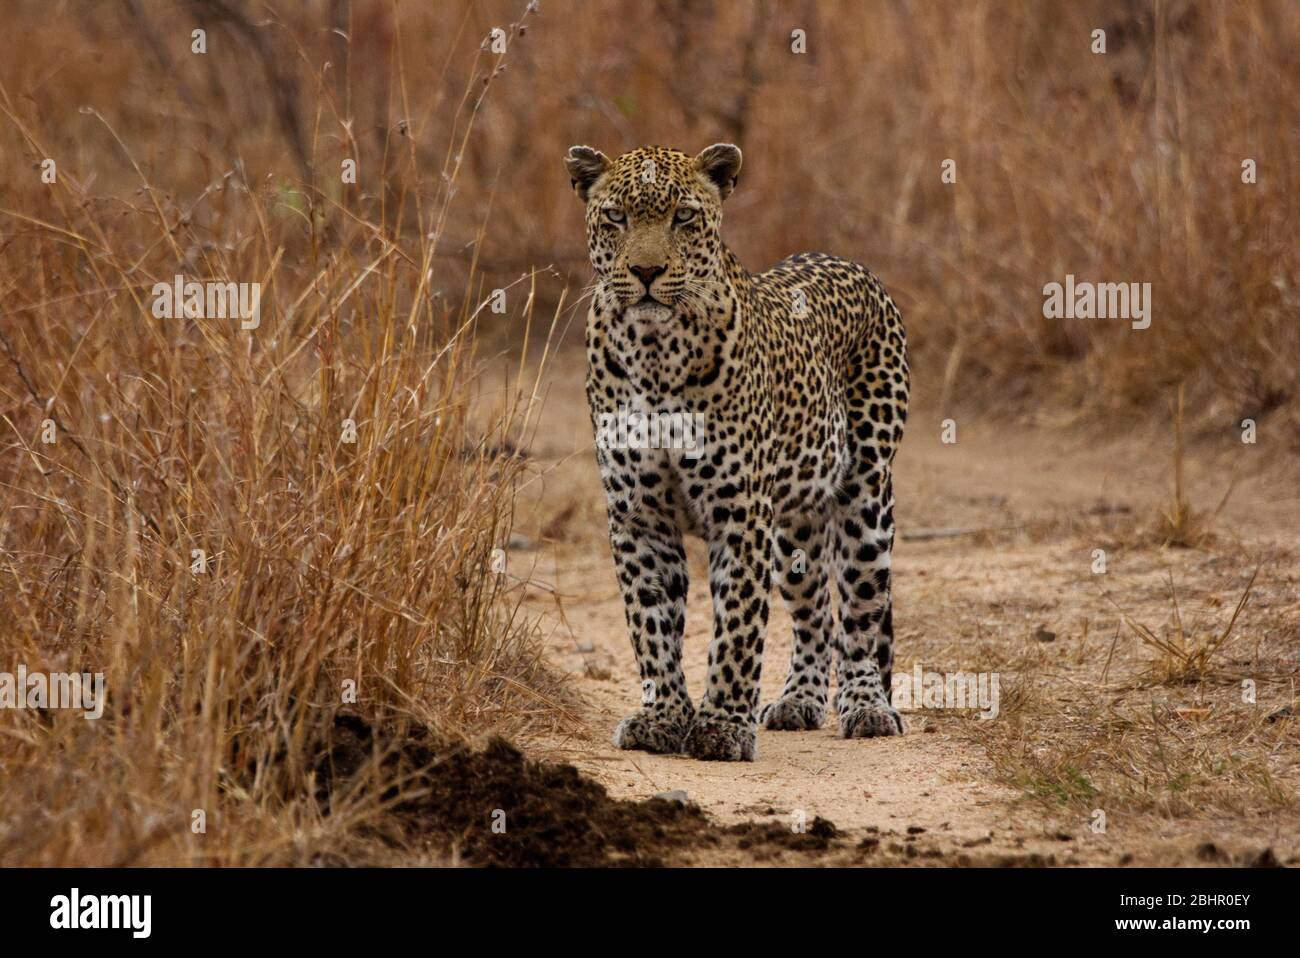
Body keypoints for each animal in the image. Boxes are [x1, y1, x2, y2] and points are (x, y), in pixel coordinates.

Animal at [566, 142, 908, 762]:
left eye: (683, 217)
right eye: (616, 218)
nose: (646, 272)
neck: (655, 352)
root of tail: (851, 263)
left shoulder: (740, 514)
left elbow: (738, 628)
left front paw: (722, 725)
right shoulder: (638, 515)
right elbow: (651, 623)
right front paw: (663, 717)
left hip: (866, 497)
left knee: (860, 613)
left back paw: (866, 707)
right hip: (793, 528)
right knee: (816, 612)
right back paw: (798, 700)